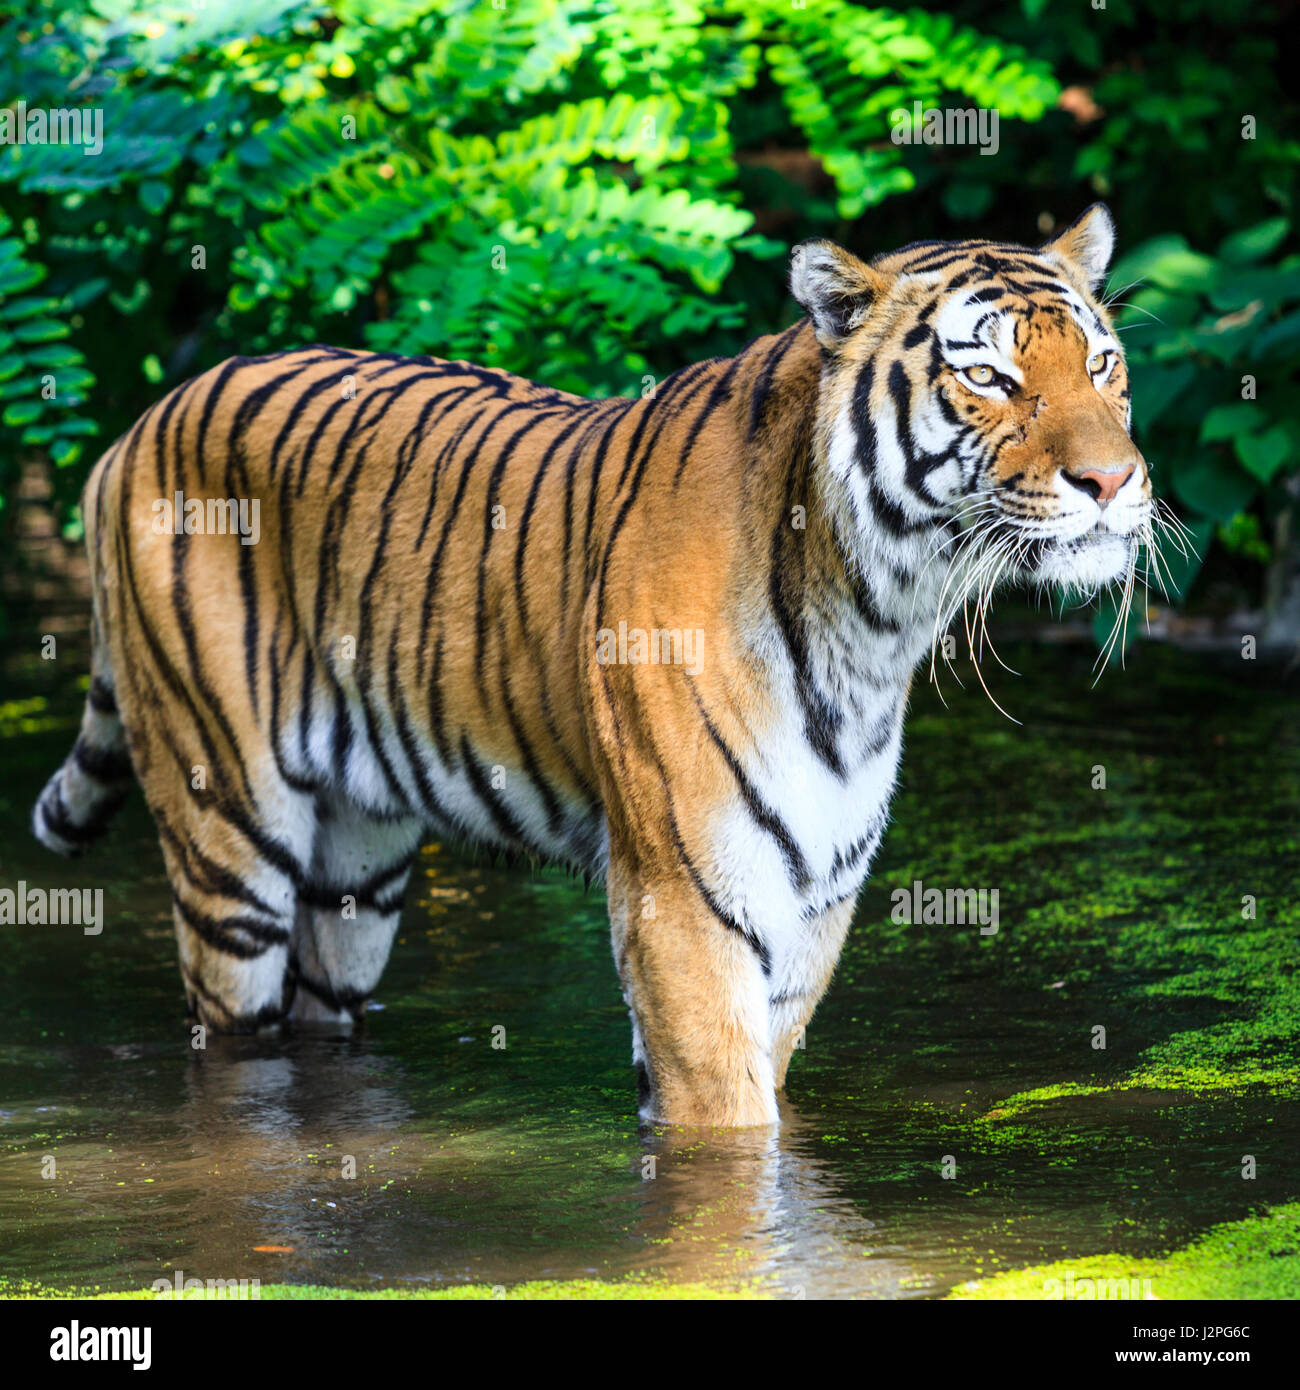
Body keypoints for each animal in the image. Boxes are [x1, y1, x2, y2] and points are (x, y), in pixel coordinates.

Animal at [33, 203, 1151, 1126]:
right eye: (987, 377)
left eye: (1101, 366)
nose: (1111, 480)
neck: (878, 615)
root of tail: (136, 425)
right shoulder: (686, 900)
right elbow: (731, 1123)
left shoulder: (814, 901)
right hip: (228, 834)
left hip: (358, 863)